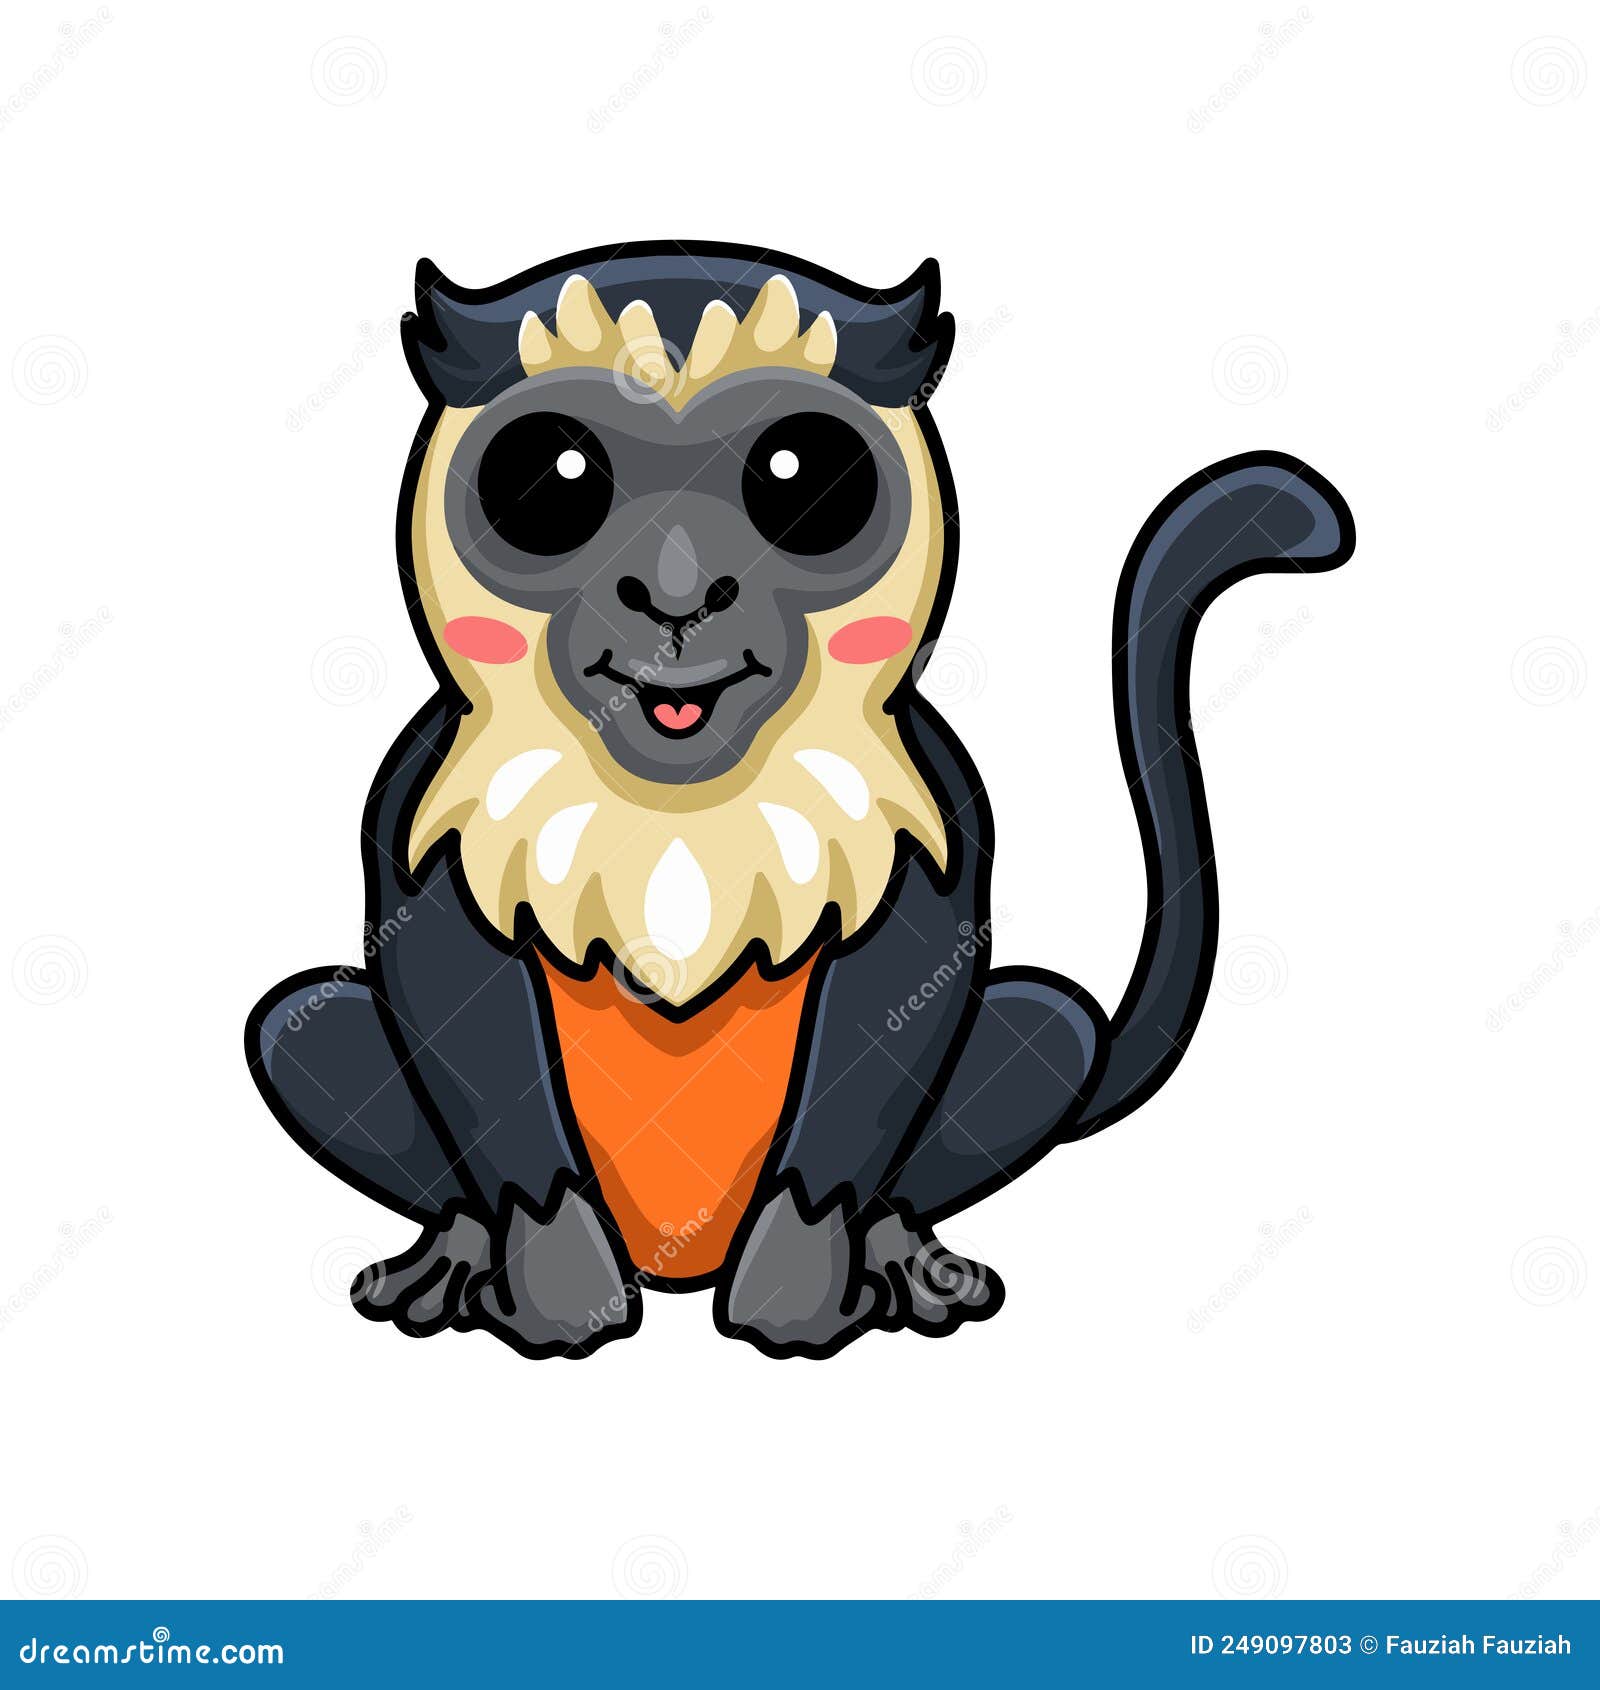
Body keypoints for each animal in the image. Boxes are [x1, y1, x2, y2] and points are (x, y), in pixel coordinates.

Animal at [245, 242, 1355, 1360]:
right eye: (551, 480)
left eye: (804, 478)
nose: (678, 595)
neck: (679, 807)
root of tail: (678, 1266)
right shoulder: (417, 817)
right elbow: (471, 1034)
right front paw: (562, 1294)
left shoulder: (938, 824)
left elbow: (880, 1036)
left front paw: (794, 1294)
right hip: (304, 1034)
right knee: (300, 1026)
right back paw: (452, 1258)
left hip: (1045, 1034)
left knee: (1049, 1025)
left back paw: (908, 1259)